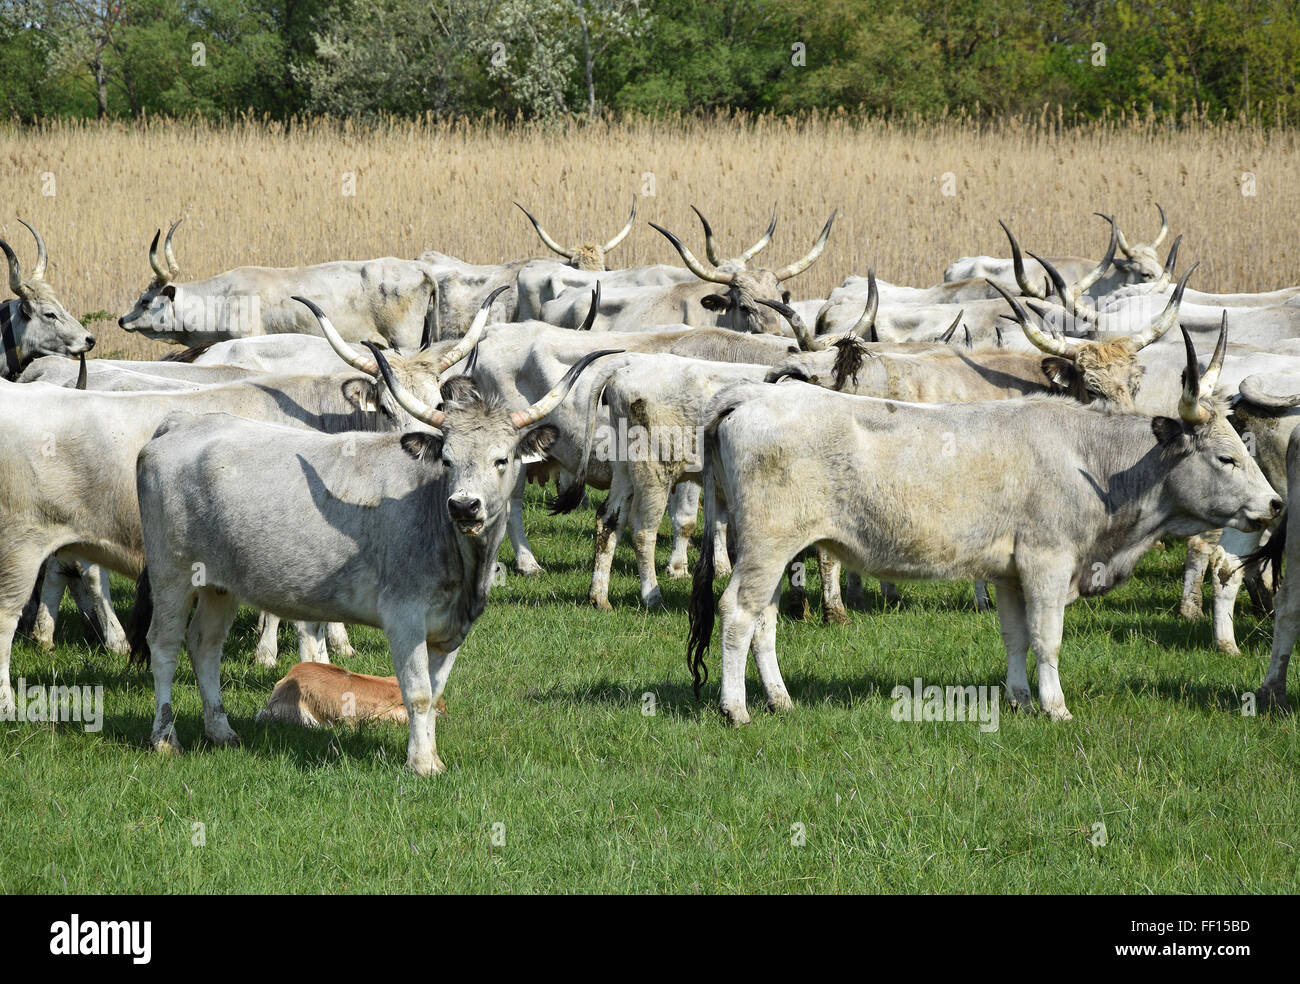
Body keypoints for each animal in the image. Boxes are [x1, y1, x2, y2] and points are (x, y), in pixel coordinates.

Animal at [135, 317, 618, 773]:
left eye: (502, 459)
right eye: (447, 460)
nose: (464, 506)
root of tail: (179, 424)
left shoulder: (450, 631)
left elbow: (434, 694)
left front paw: (432, 758)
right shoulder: (404, 617)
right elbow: (417, 694)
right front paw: (421, 765)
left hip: (220, 585)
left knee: (205, 645)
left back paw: (221, 732)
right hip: (171, 573)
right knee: (165, 643)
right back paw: (165, 738)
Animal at [685, 322, 1280, 726]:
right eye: (1226, 458)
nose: (1276, 504)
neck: (1091, 460)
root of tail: (756, 391)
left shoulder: (1011, 573)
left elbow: (1015, 637)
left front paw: (1019, 699)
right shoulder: (1047, 564)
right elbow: (1047, 639)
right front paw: (1056, 707)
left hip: (772, 551)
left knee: (764, 618)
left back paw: (780, 699)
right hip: (766, 547)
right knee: (737, 613)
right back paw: (736, 709)